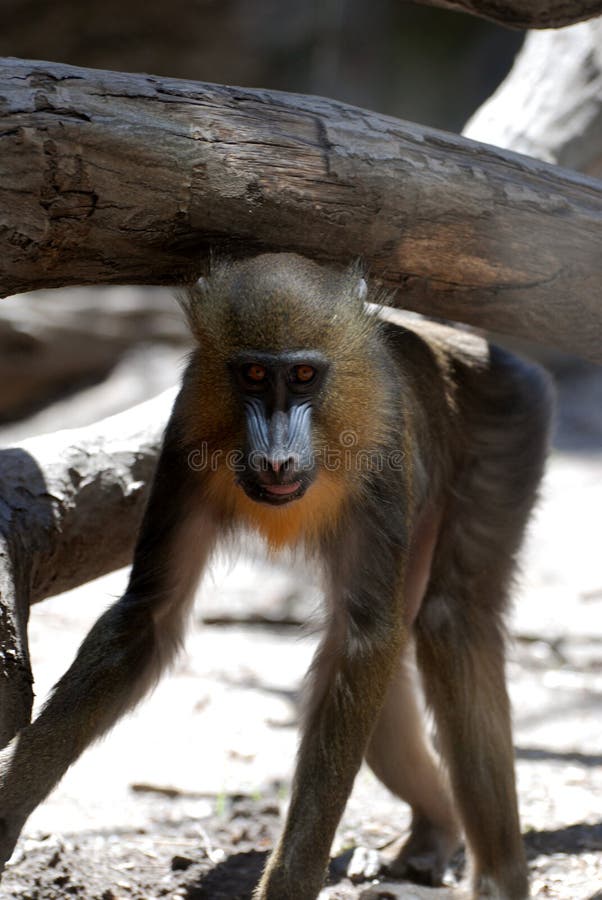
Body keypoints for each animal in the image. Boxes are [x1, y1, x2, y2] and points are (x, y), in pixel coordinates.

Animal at [0, 252, 553, 899]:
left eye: (306, 376)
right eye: (255, 376)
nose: (278, 458)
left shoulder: (384, 447)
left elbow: (368, 640)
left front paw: (288, 883)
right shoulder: (186, 434)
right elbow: (150, 613)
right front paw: (7, 810)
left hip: (508, 429)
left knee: (449, 621)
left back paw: (499, 874)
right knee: (376, 669)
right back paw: (433, 832)